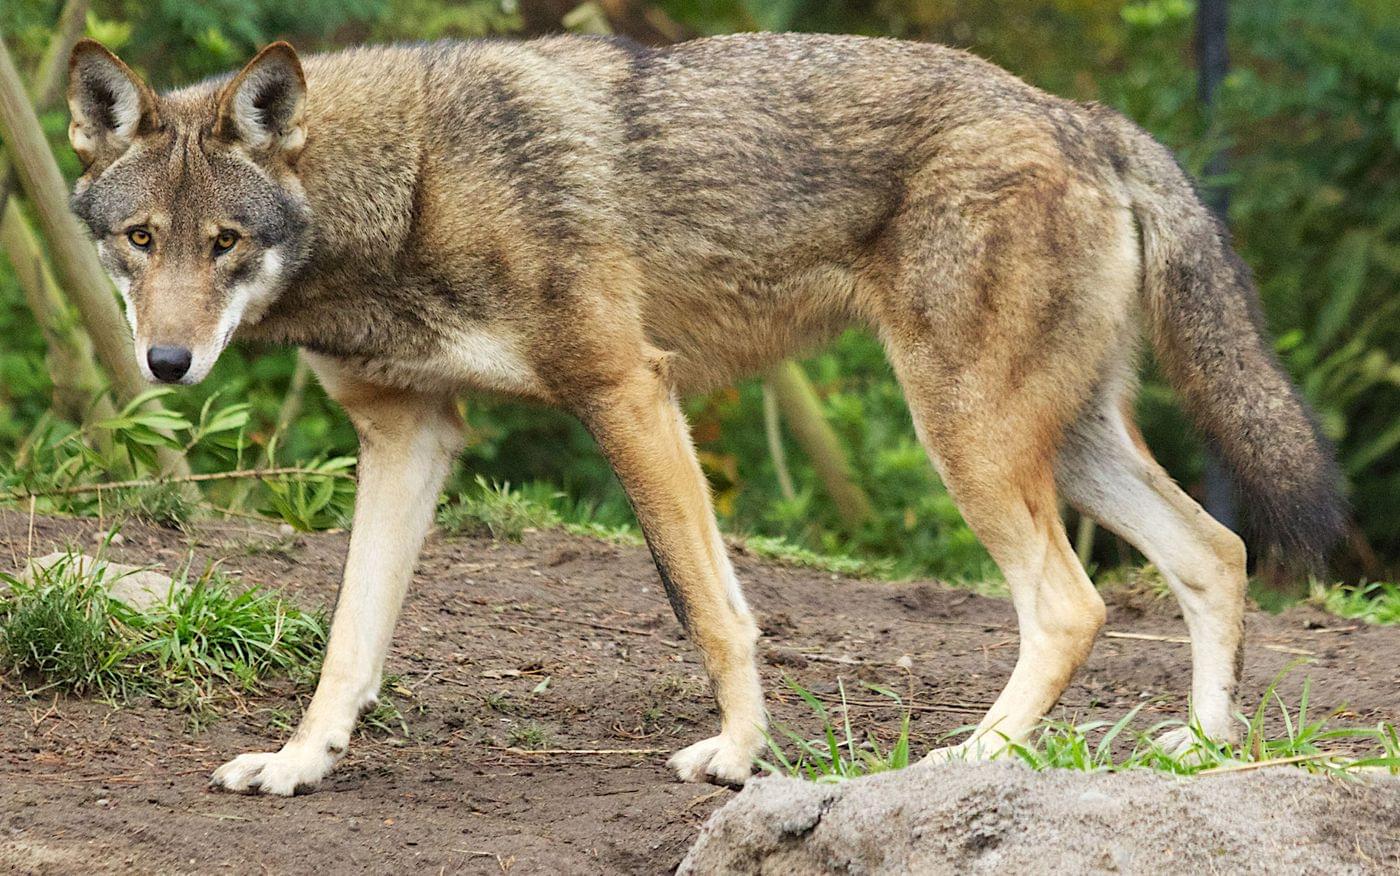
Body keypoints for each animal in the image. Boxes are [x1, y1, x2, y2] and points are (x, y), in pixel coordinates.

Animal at [66, 32, 1343, 795]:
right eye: (142, 239)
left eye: (224, 243)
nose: (166, 362)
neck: (411, 186)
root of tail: (1085, 115)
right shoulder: (408, 436)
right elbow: (348, 640)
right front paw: (297, 766)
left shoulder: (628, 391)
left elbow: (709, 608)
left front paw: (737, 755)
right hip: (1057, 443)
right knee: (1215, 552)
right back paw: (1203, 748)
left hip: (968, 439)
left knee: (1073, 604)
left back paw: (970, 758)